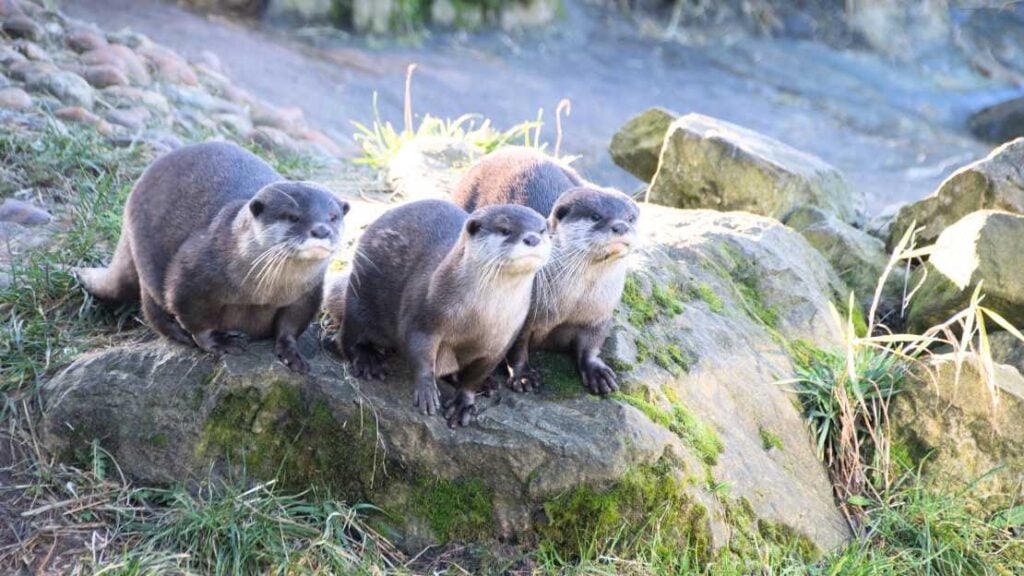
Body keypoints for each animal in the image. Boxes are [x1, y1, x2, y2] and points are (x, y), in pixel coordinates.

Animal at [76, 141, 348, 373]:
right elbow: (196, 319)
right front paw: (219, 342)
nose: (321, 229)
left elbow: (291, 325)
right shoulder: (190, 280)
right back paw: (179, 334)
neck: (262, 293)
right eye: (293, 217)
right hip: (146, 258)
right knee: (152, 309)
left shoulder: (307, 294)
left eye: (333, 216)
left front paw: (291, 354)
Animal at [330, 199, 550, 427]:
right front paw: (427, 391)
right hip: (360, 295)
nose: (532, 238)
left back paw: (484, 383)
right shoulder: (424, 318)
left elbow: (476, 376)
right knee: (348, 336)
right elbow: (420, 354)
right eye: (505, 229)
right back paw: (368, 359)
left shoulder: (501, 342)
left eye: (543, 230)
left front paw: (464, 403)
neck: (478, 318)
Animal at [452, 147, 639, 395]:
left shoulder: (599, 315)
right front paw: (523, 376)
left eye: (631, 218)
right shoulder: (522, 316)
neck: (573, 302)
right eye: (595, 216)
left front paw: (598, 372)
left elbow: (591, 346)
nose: (621, 226)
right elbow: (516, 349)